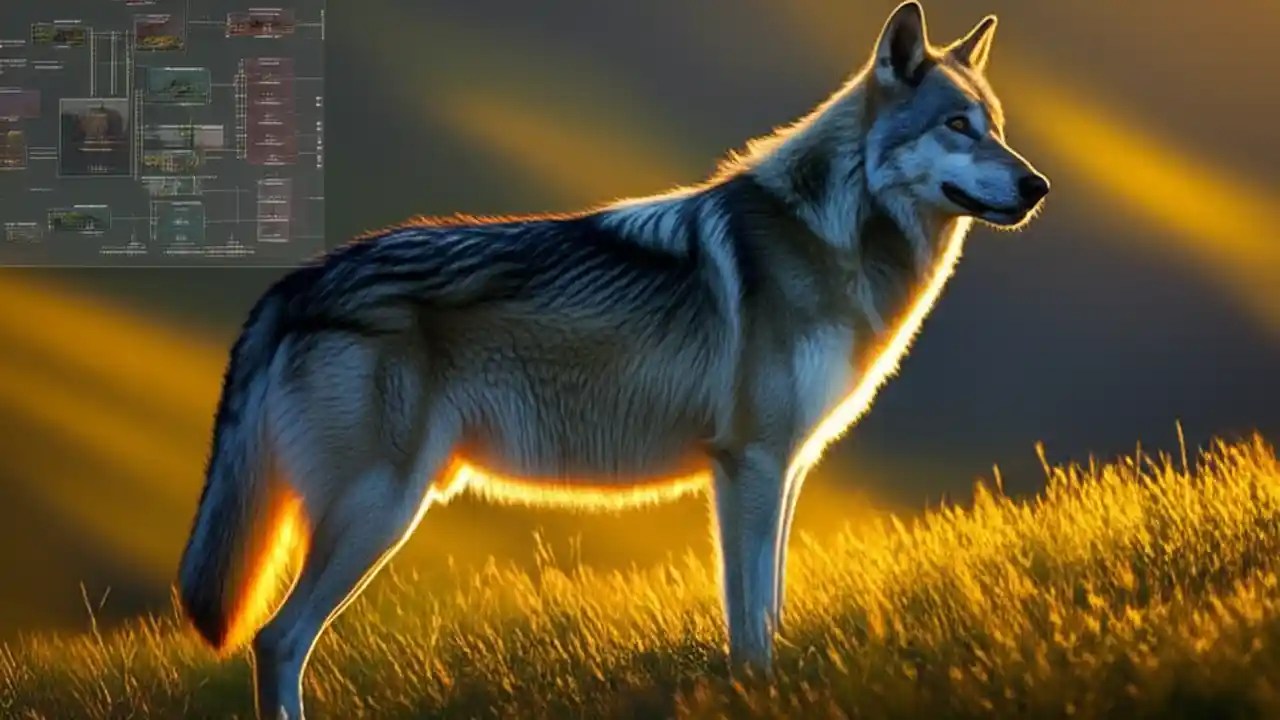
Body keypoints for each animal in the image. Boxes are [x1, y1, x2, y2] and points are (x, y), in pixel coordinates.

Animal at [176, 3, 1049, 717]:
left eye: (997, 125)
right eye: (959, 127)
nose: (1037, 185)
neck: (833, 234)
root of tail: (295, 280)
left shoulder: (787, 469)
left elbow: (766, 608)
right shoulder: (749, 466)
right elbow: (749, 626)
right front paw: (759, 692)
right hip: (380, 510)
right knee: (276, 640)